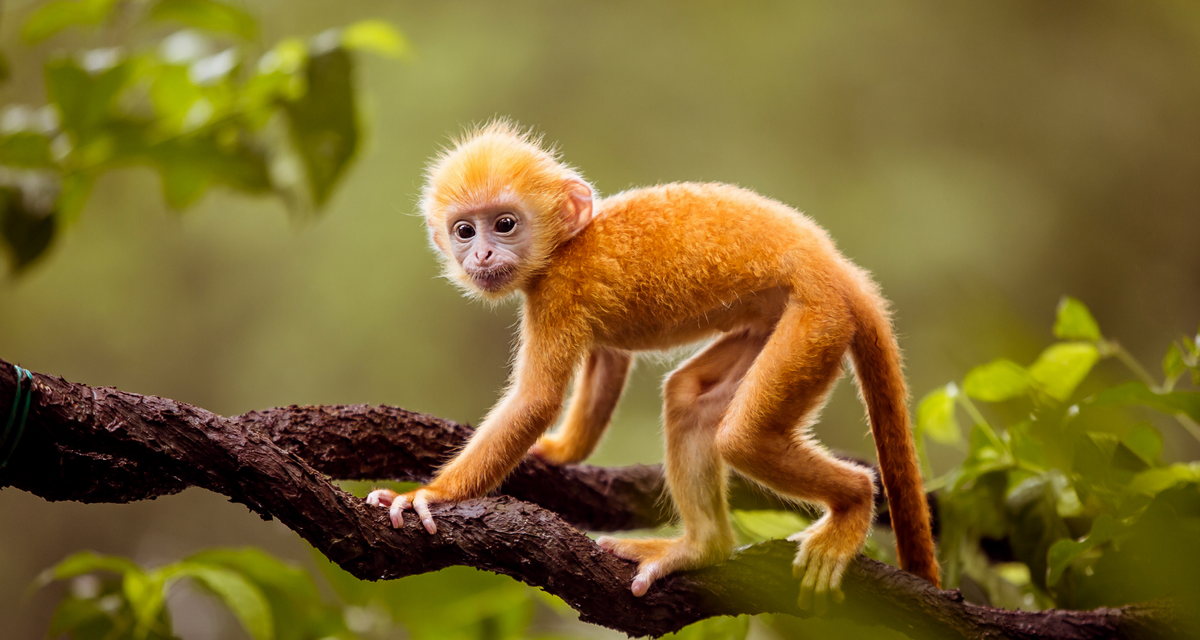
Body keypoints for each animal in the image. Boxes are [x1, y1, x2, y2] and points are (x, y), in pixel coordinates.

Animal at [366, 120, 939, 608]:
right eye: (464, 231)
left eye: (504, 224)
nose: (480, 255)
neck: (566, 244)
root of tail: (836, 267)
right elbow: (608, 358)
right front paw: (557, 452)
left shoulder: (560, 291)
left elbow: (536, 401)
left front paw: (429, 496)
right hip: (777, 321)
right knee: (690, 400)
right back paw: (703, 547)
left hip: (817, 320)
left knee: (743, 438)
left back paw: (853, 503)